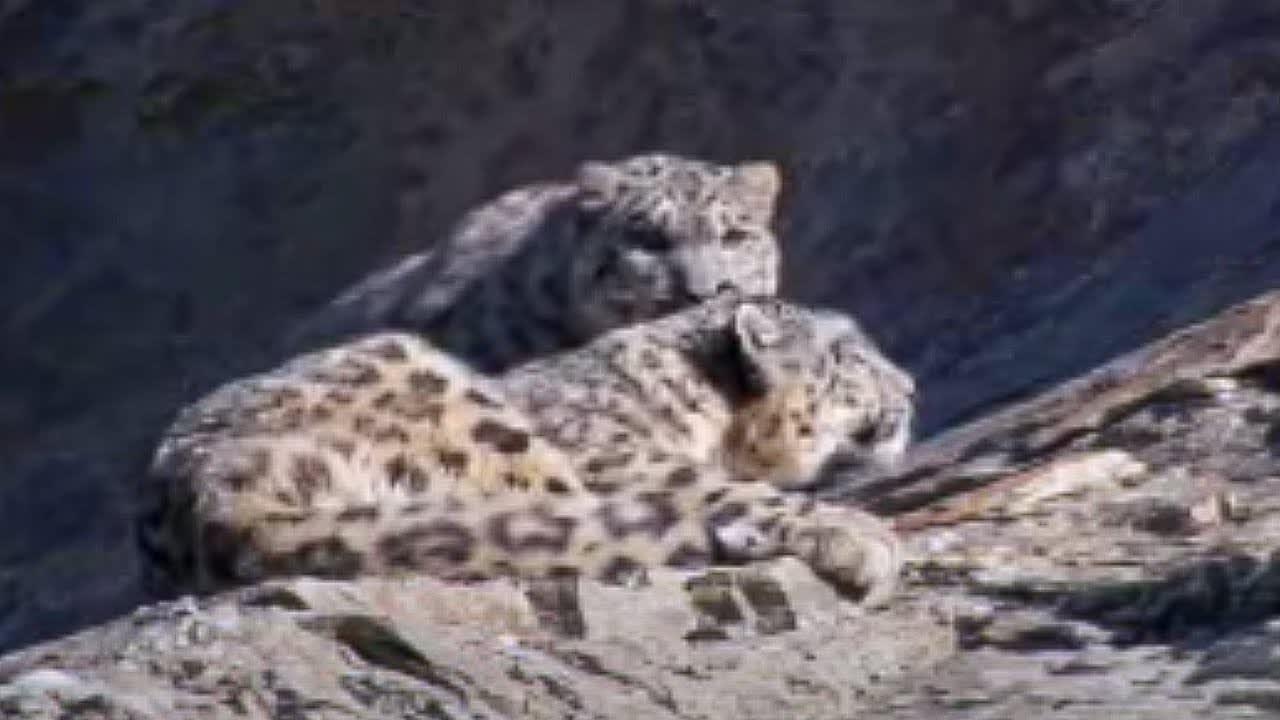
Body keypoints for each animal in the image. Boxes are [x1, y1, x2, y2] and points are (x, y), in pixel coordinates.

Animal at [137, 295, 915, 611]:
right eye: (847, 354)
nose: (910, 384)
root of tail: (199, 500)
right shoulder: (617, 456)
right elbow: (717, 487)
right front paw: (857, 535)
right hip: (464, 409)